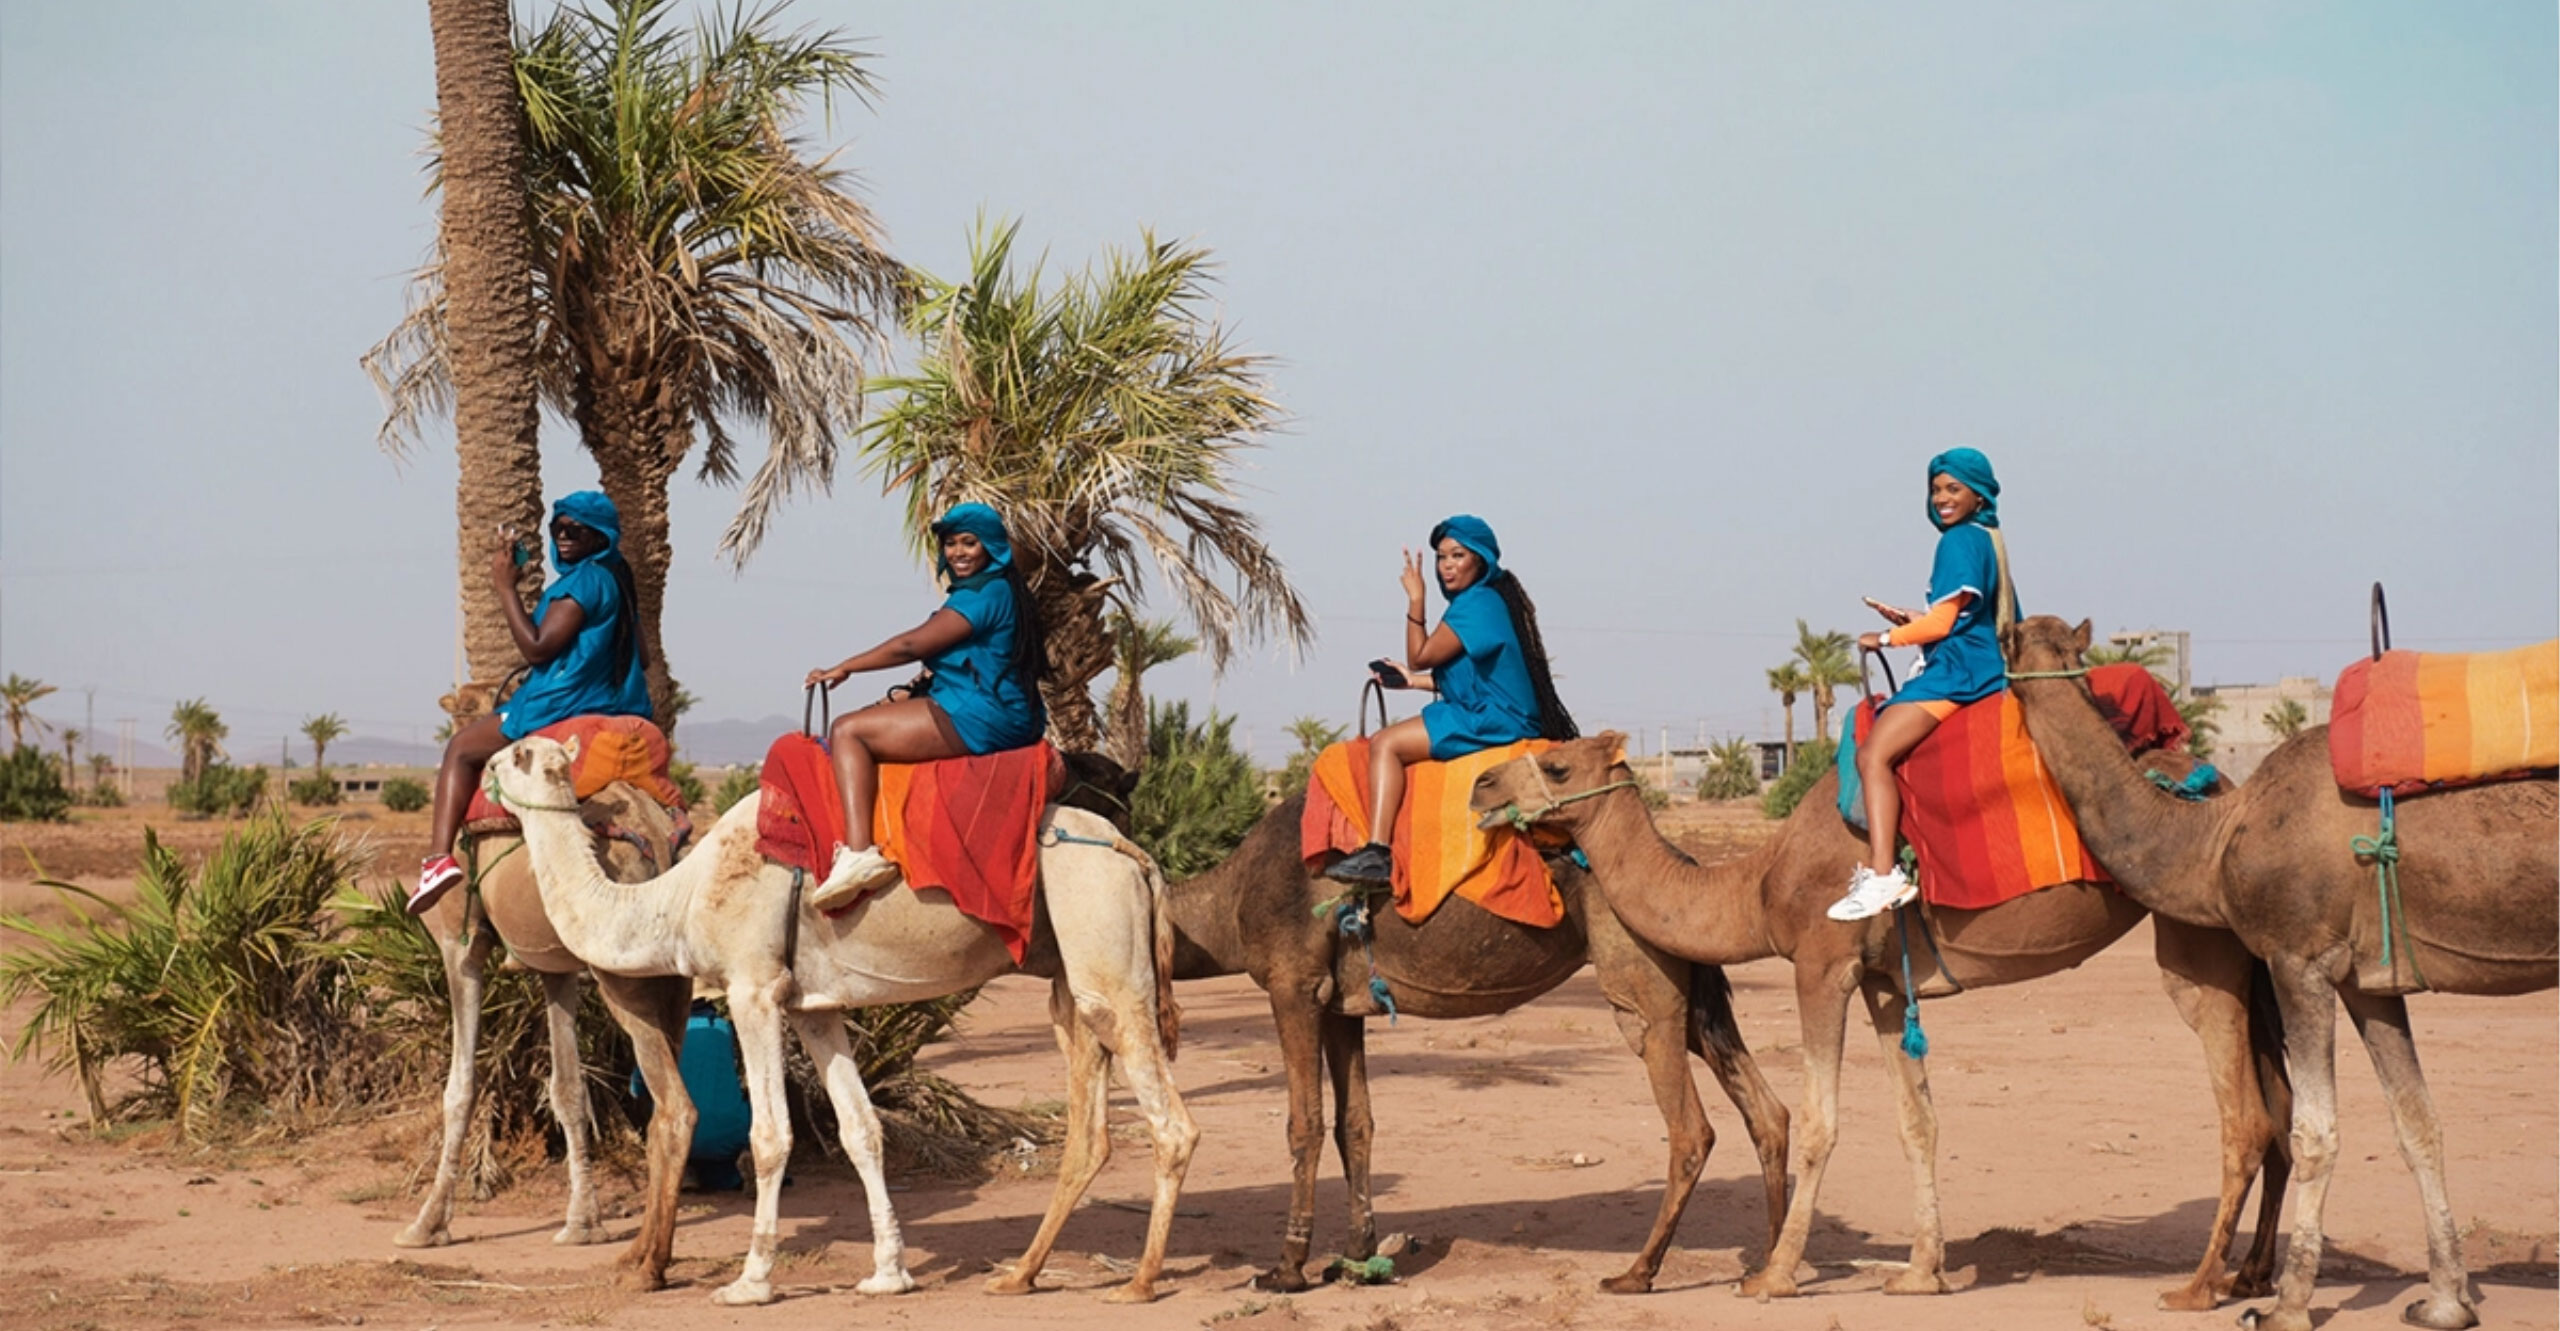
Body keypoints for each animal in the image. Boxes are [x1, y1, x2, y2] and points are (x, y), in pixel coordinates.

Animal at [394, 779, 694, 1258]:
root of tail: (657, 838)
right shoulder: (557, 965)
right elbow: (568, 1088)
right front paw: (583, 1223)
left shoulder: (460, 942)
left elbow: (460, 1088)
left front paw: (427, 1224)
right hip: (676, 977)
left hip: (620, 968)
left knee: (676, 1106)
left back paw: (649, 1255)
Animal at [484, 735, 1198, 1306]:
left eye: (517, 755)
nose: (485, 774)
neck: (679, 900)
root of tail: (1135, 853)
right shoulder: (813, 1008)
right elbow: (861, 1130)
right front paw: (889, 1274)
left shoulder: (753, 987)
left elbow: (770, 1137)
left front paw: (751, 1282)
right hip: (1066, 976)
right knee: (1088, 1125)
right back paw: (1019, 1274)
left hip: (1102, 935)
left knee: (1171, 1122)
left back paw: (1139, 1282)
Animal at [1158, 793, 1795, 1294]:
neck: (1225, 902)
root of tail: (1683, 863)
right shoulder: (1342, 1006)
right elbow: (1354, 1123)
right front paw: (1357, 1257)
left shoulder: (1293, 985)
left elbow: (1305, 1124)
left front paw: (1287, 1268)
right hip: (1692, 992)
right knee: (1768, 1112)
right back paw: (1769, 1264)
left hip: (1642, 982)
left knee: (1691, 1128)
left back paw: (1638, 1273)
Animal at [1469, 733, 2293, 1309]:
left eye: (1557, 766)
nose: (1479, 785)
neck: (1756, 885)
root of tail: (2227, 787)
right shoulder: (1883, 985)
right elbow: (1916, 1120)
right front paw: (1923, 1273)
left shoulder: (1821, 965)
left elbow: (1820, 1120)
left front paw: (1772, 1276)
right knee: (2278, 1107)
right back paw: (2252, 1276)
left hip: (2197, 942)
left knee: (2244, 1115)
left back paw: (2200, 1286)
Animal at [2004, 615, 2559, 1331]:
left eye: (2001, 638)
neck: (2215, 838)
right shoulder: (2369, 981)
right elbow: (2416, 1122)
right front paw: (2443, 1304)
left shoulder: (2301, 958)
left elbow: (2314, 1131)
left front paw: (2284, 1306)